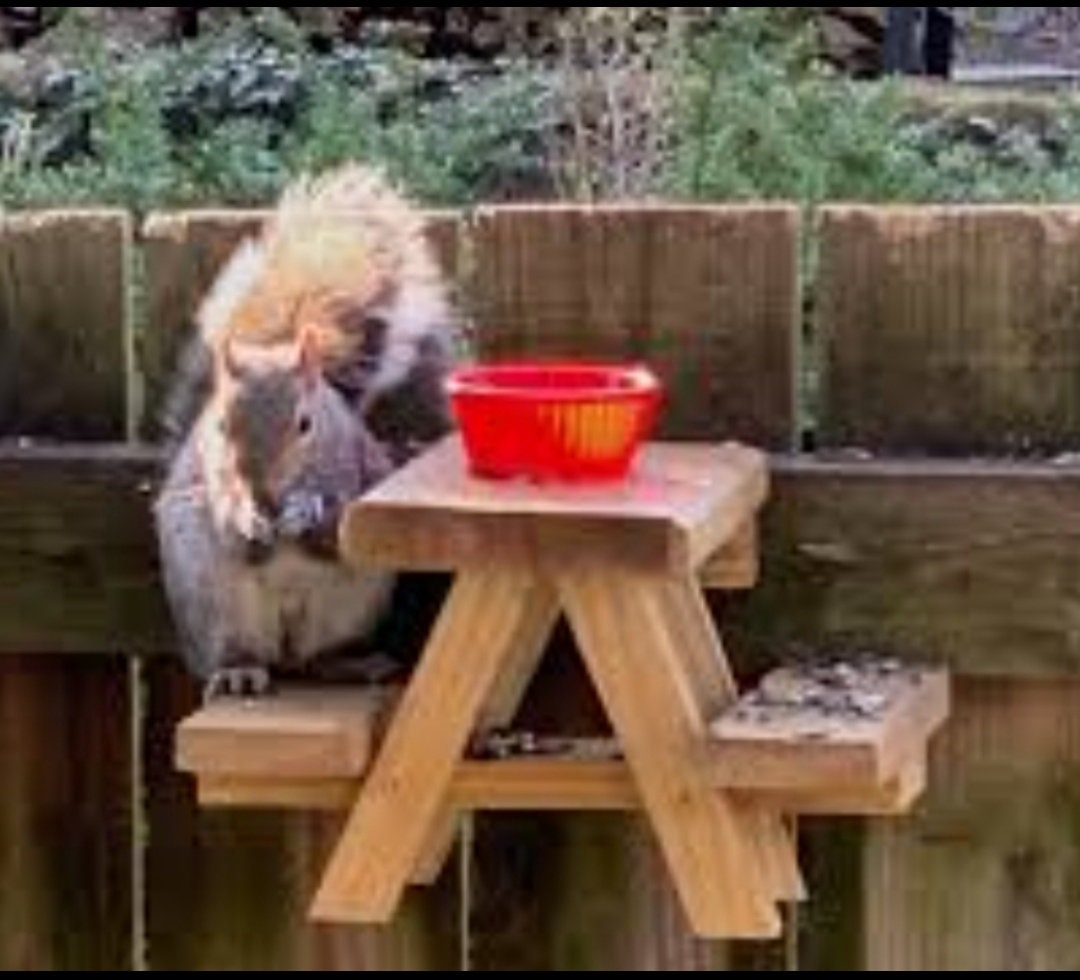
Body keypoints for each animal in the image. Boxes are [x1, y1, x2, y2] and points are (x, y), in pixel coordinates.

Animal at [153, 163, 457, 699]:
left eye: (305, 424)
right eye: (221, 424)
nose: (264, 492)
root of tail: (286, 648)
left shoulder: (354, 470)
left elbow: (338, 531)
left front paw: (307, 510)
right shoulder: (213, 484)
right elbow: (234, 536)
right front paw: (247, 520)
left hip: (351, 608)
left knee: (317, 658)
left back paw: (350, 664)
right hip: (210, 606)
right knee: (235, 652)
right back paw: (236, 671)